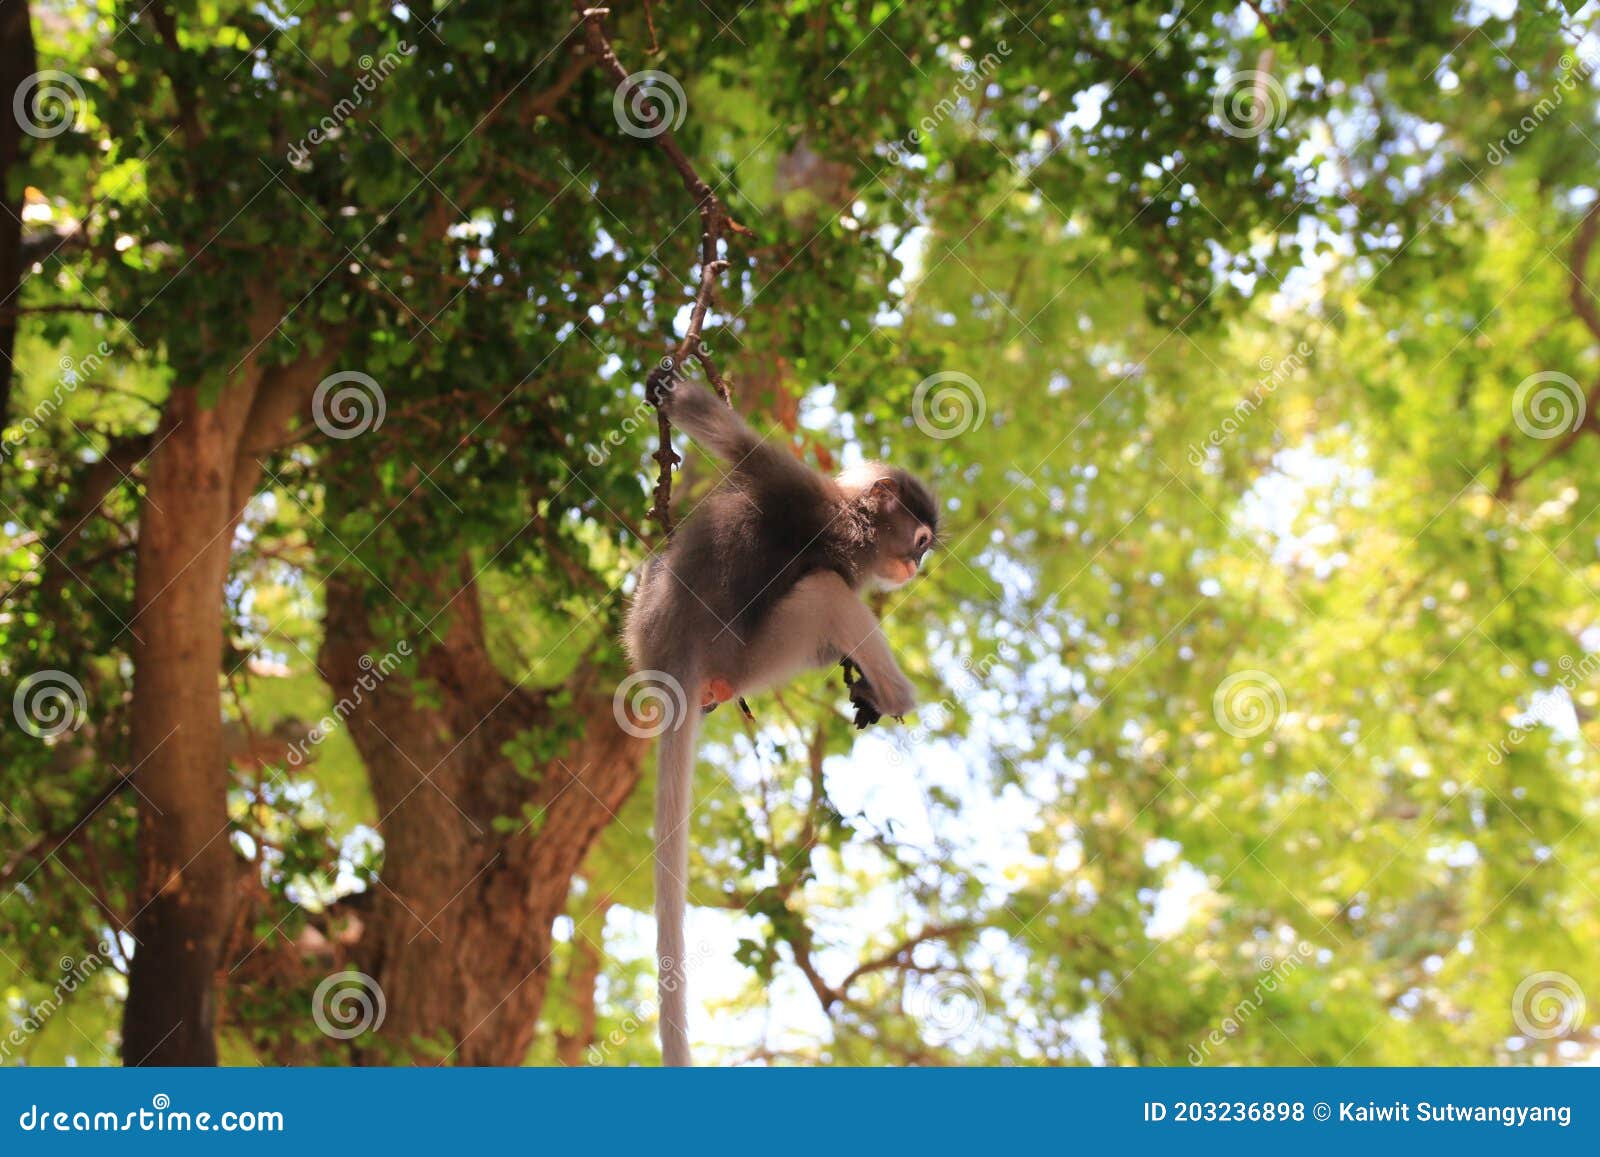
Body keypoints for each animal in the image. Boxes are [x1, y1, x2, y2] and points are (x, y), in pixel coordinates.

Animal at [623, 377, 938, 1067]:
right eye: (922, 541)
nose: (918, 568)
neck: (852, 524)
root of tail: (676, 658)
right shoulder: (807, 495)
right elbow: (737, 444)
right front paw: (672, 390)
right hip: (743, 654)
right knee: (823, 590)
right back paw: (898, 693)